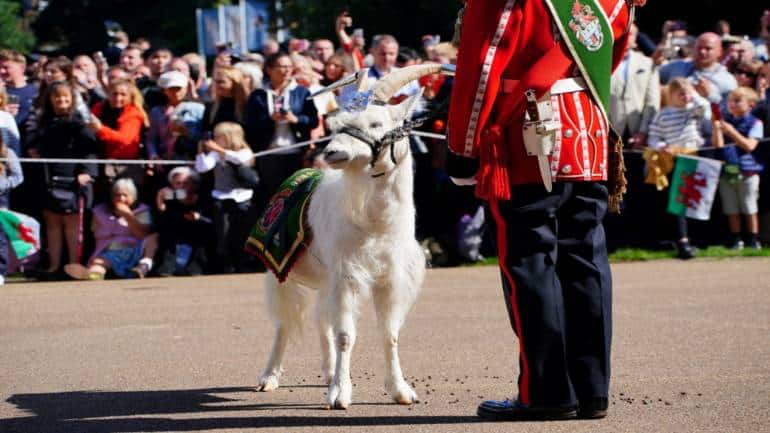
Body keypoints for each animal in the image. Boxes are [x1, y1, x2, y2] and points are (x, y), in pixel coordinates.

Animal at [255, 64, 449, 409]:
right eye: (340, 124)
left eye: (376, 123)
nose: (331, 151)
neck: (376, 224)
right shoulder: (347, 274)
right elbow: (346, 335)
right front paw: (339, 394)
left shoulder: (389, 278)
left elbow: (390, 334)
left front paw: (400, 390)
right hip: (281, 272)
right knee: (284, 323)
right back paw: (269, 378)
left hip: (323, 278)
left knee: (322, 320)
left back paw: (327, 369)